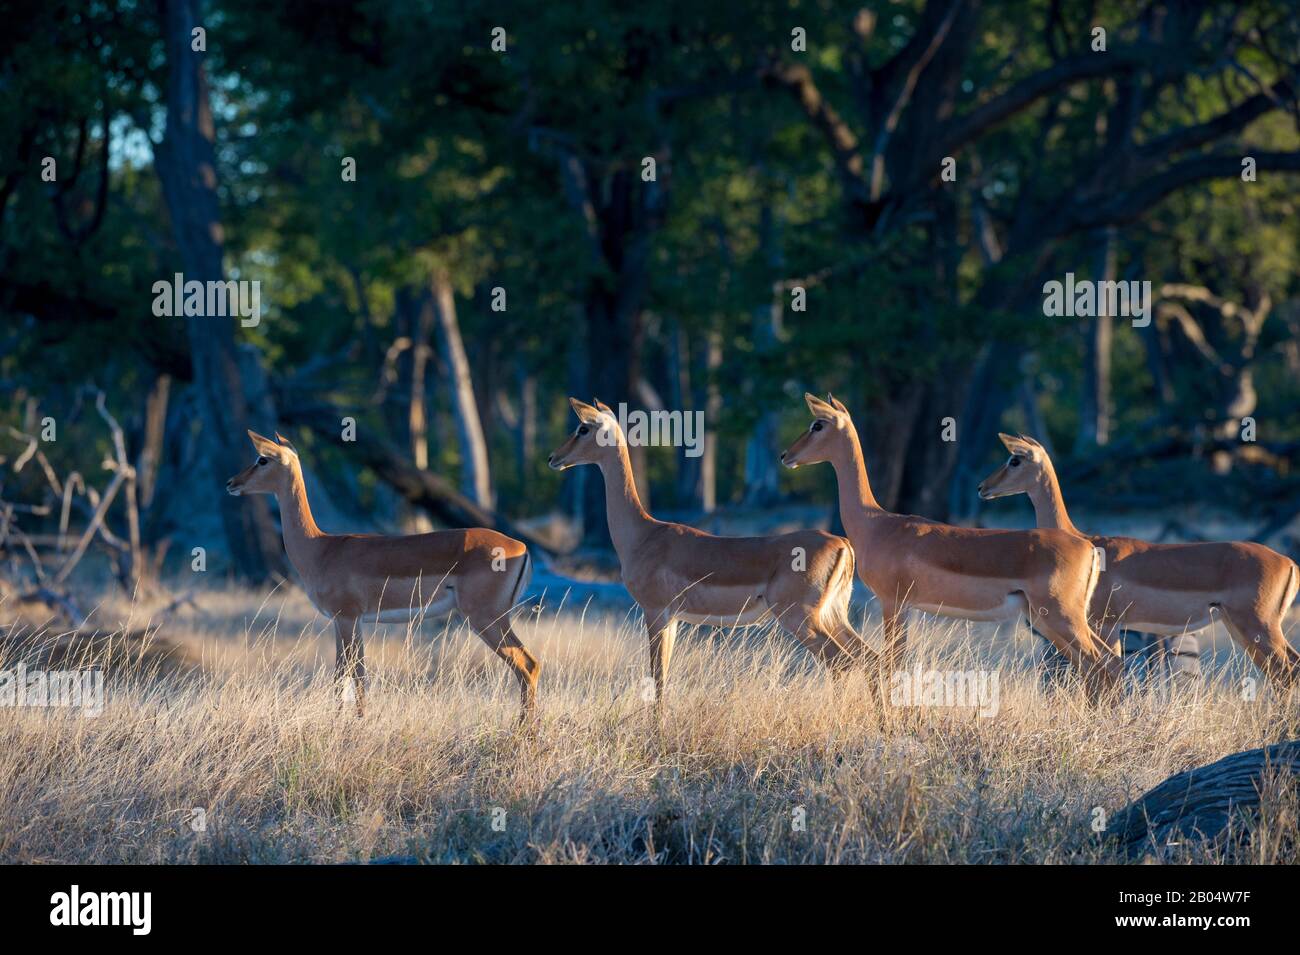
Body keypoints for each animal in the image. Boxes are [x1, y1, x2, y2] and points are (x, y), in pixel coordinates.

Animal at [226, 431, 540, 721]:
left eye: (262, 459)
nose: (232, 483)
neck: (320, 548)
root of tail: (521, 547)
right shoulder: (344, 622)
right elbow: (345, 674)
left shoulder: (348, 618)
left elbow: (353, 676)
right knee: (530, 665)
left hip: (486, 619)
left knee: (526, 664)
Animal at [547, 398, 874, 713]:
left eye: (583, 428)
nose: (554, 458)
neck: (643, 535)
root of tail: (842, 543)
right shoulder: (673, 619)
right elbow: (664, 676)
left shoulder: (655, 612)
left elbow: (657, 678)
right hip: (833, 615)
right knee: (867, 657)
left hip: (801, 618)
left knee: (842, 661)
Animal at [781, 394, 1121, 700]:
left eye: (817, 424)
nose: (786, 455)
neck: (875, 523)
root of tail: (1088, 548)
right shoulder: (905, 607)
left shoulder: (892, 602)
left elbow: (892, 665)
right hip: (1052, 620)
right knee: (1104, 662)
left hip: (1061, 617)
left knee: (1100, 664)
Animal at [979, 433, 1299, 687]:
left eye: (1015, 459)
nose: (983, 487)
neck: (1087, 542)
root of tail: (1289, 563)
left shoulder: (1105, 624)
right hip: (1243, 629)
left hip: (1259, 627)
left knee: (1288, 673)